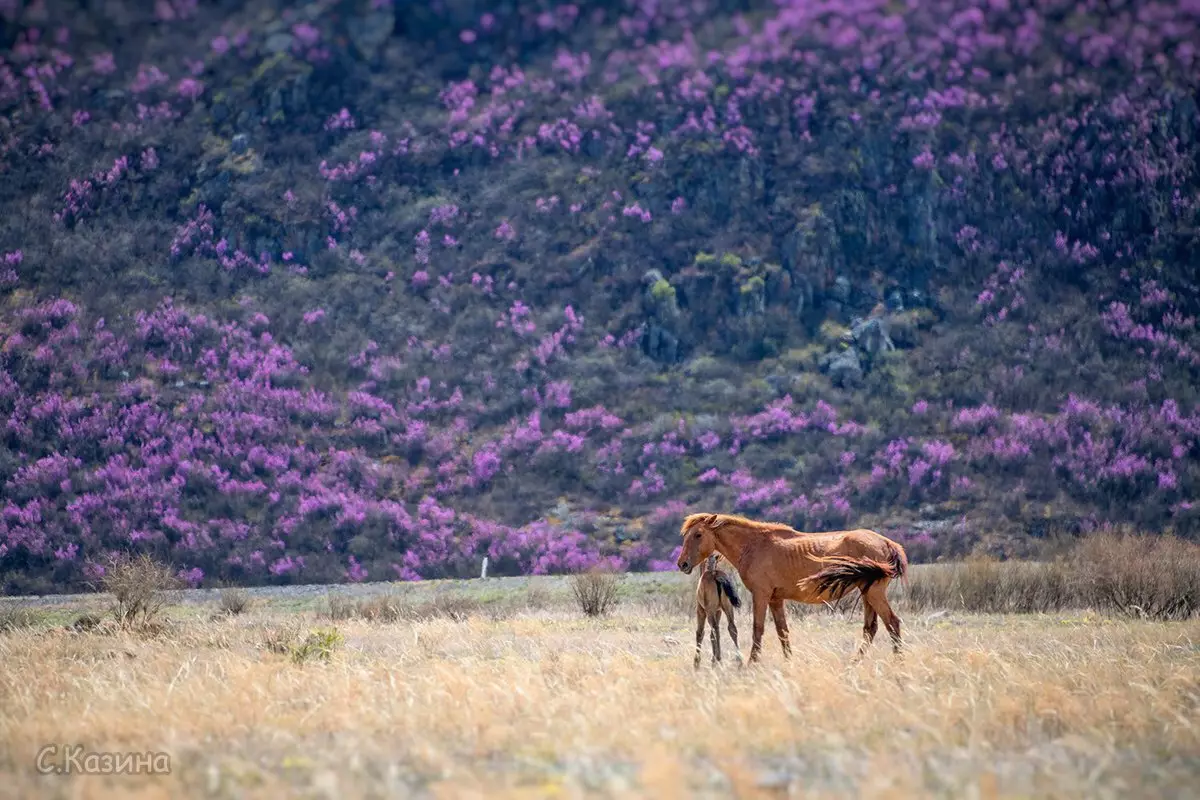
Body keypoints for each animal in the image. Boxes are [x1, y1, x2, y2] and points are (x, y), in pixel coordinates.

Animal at [676, 513, 907, 662]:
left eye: (698, 534)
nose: (682, 564)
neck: (754, 545)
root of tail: (887, 542)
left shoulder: (761, 596)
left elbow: (757, 629)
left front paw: (751, 665)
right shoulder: (775, 600)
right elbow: (783, 632)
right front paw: (789, 663)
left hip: (874, 594)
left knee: (892, 624)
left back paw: (898, 663)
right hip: (867, 593)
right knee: (870, 629)